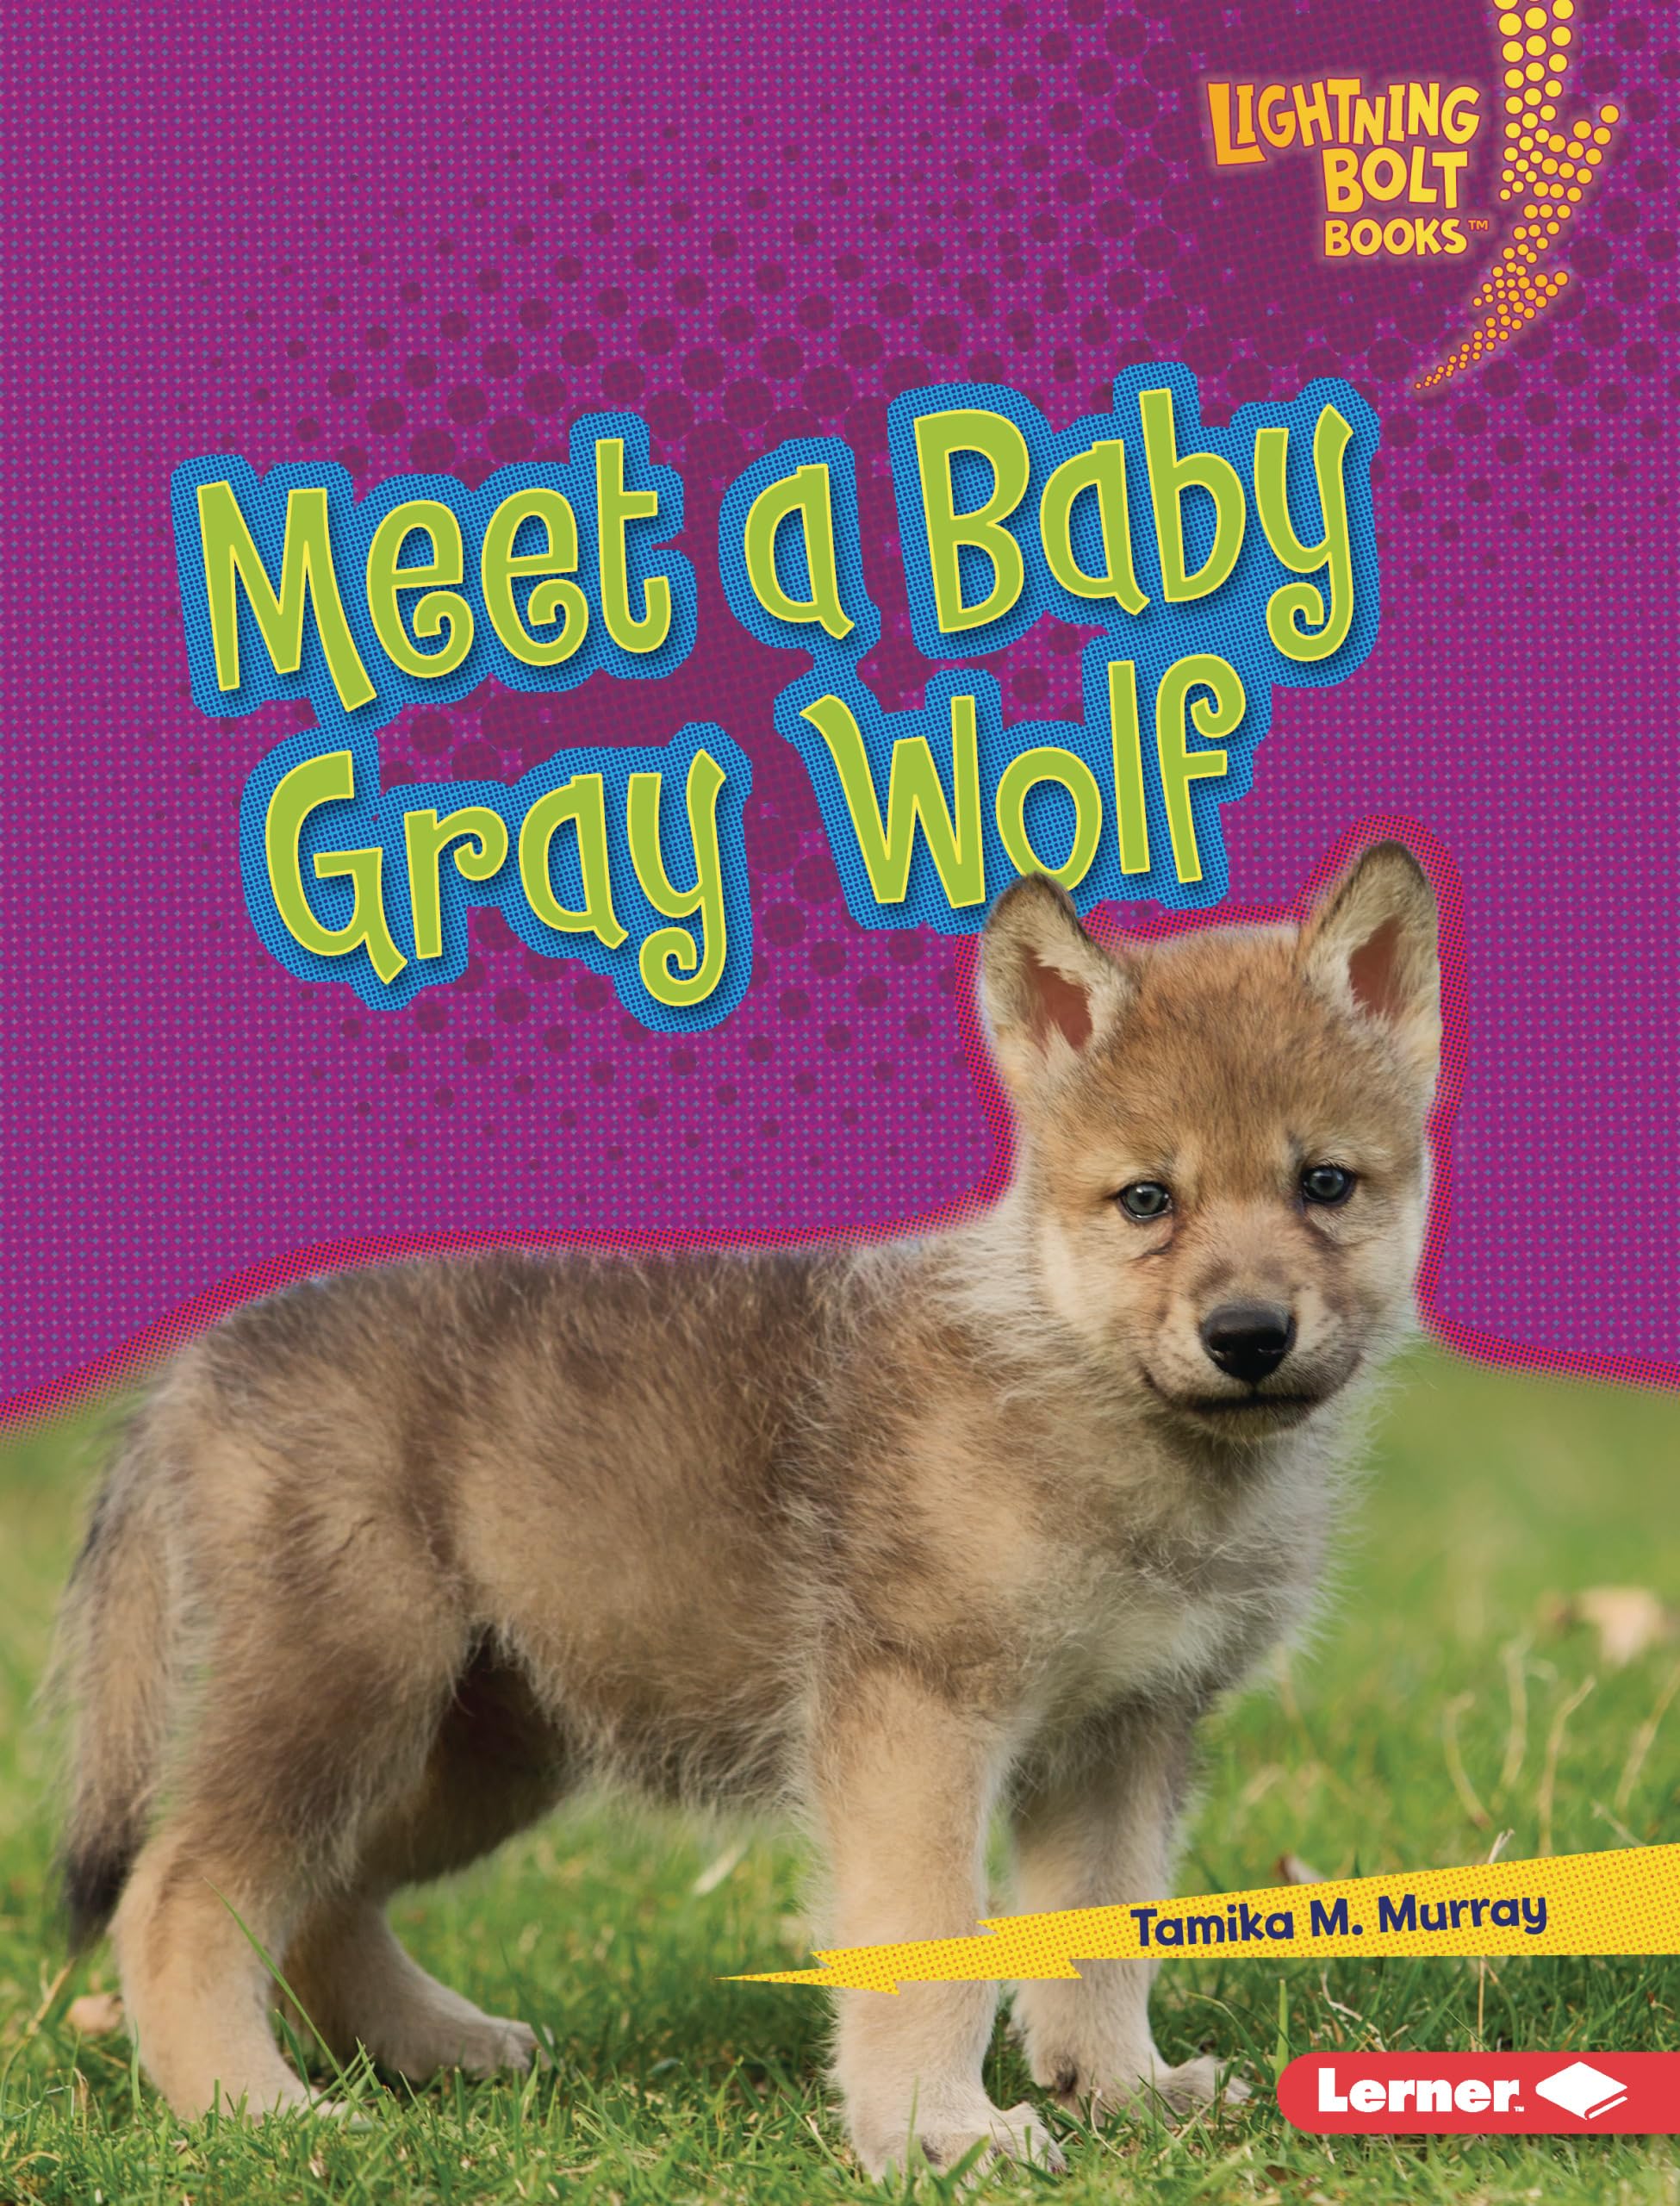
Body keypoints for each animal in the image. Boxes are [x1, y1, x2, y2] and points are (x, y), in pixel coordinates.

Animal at [50, 840, 1441, 2176]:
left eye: (1324, 1184)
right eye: (1148, 1199)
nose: (1248, 1336)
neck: (1084, 1393)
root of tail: (196, 1367)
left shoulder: (1126, 1731)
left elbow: (1103, 1937)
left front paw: (1121, 2093)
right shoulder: (917, 1714)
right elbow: (933, 1941)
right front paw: (941, 2133)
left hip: (483, 1743)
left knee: (317, 1901)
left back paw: (430, 2049)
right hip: (349, 1686)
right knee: (179, 1894)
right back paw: (256, 2112)